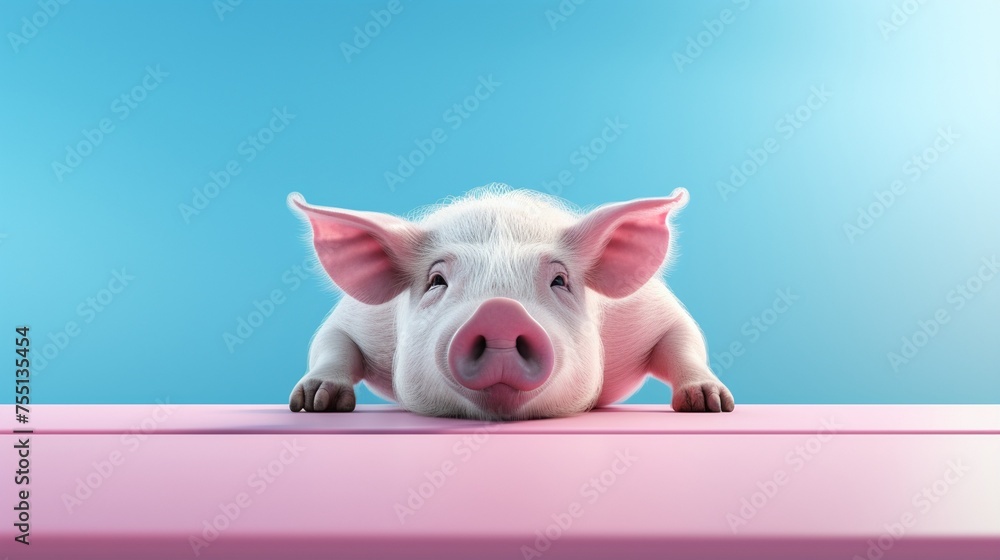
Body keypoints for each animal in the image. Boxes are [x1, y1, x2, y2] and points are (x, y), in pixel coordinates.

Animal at [287, 184, 735, 420]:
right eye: (436, 280)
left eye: (559, 280)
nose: (499, 311)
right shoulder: (355, 319)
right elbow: (332, 342)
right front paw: (314, 403)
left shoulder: (654, 311)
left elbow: (681, 339)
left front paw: (710, 404)